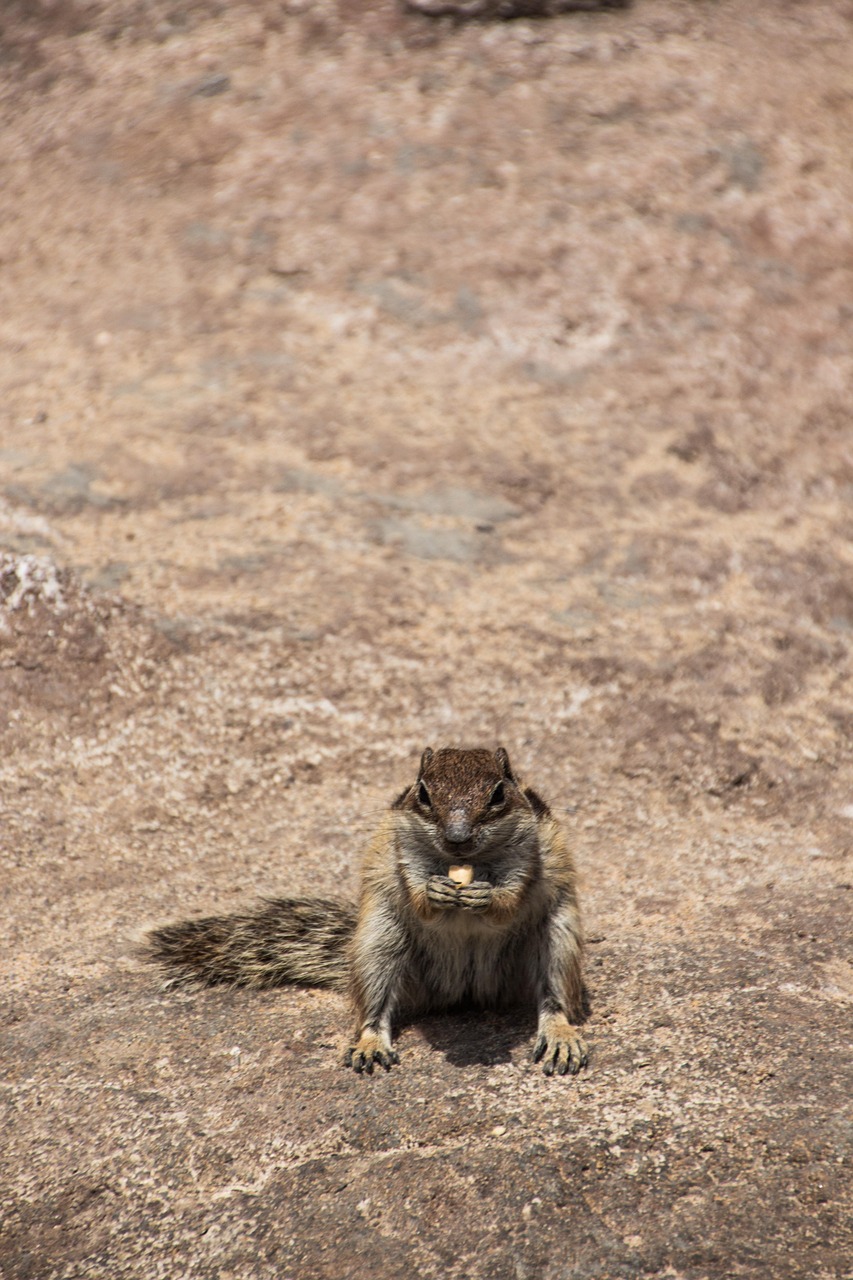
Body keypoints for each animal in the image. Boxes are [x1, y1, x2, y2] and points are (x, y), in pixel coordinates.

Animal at [146, 746, 588, 1077]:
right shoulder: (401, 853)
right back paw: (370, 1043)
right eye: (423, 793)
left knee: (553, 999)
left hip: (557, 939)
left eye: (498, 793)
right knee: (374, 1006)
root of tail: (465, 992)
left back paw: (560, 1037)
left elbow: (510, 897)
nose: (457, 838)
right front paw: (435, 892)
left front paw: (487, 897)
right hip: (378, 944)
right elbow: (418, 896)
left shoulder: (528, 858)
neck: (469, 863)